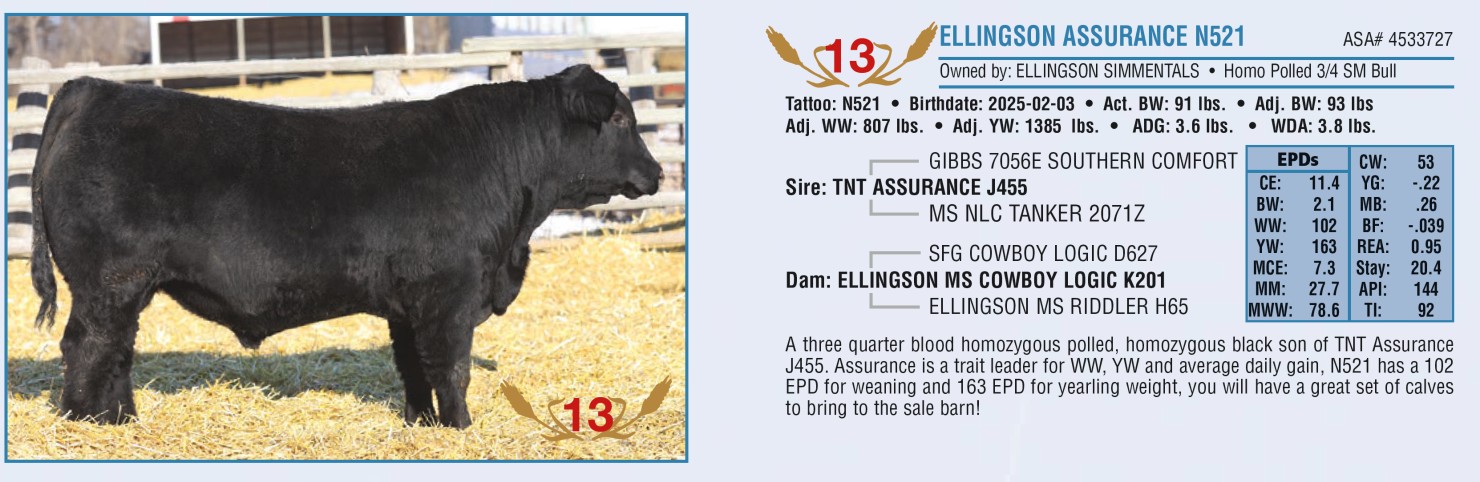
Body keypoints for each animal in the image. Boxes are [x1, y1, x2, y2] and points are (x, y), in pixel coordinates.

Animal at [28, 64, 662, 428]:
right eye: (621, 119)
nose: (656, 173)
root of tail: (91, 89)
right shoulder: (450, 294)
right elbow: (452, 367)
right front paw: (461, 428)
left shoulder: (410, 303)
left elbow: (414, 367)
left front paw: (423, 427)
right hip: (109, 280)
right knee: (87, 346)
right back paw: (85, 423)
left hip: (126, 288)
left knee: (117, 350)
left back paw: (121, 421)